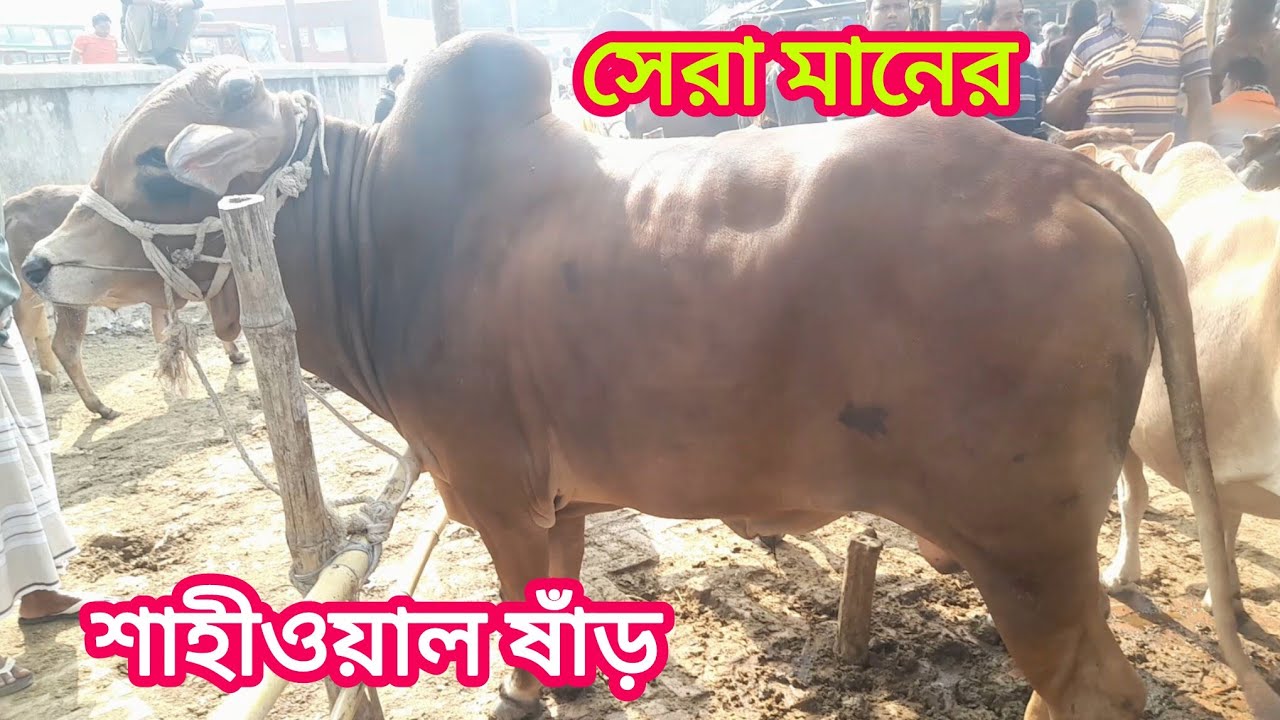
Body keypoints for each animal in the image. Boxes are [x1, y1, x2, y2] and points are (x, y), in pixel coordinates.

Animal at [3, 184, 249, 419]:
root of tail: (13, 204)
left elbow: (160, 328)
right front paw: (235, 353)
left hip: (29, 298)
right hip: (71, 300)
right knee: (65, 346)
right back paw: (99, 406)